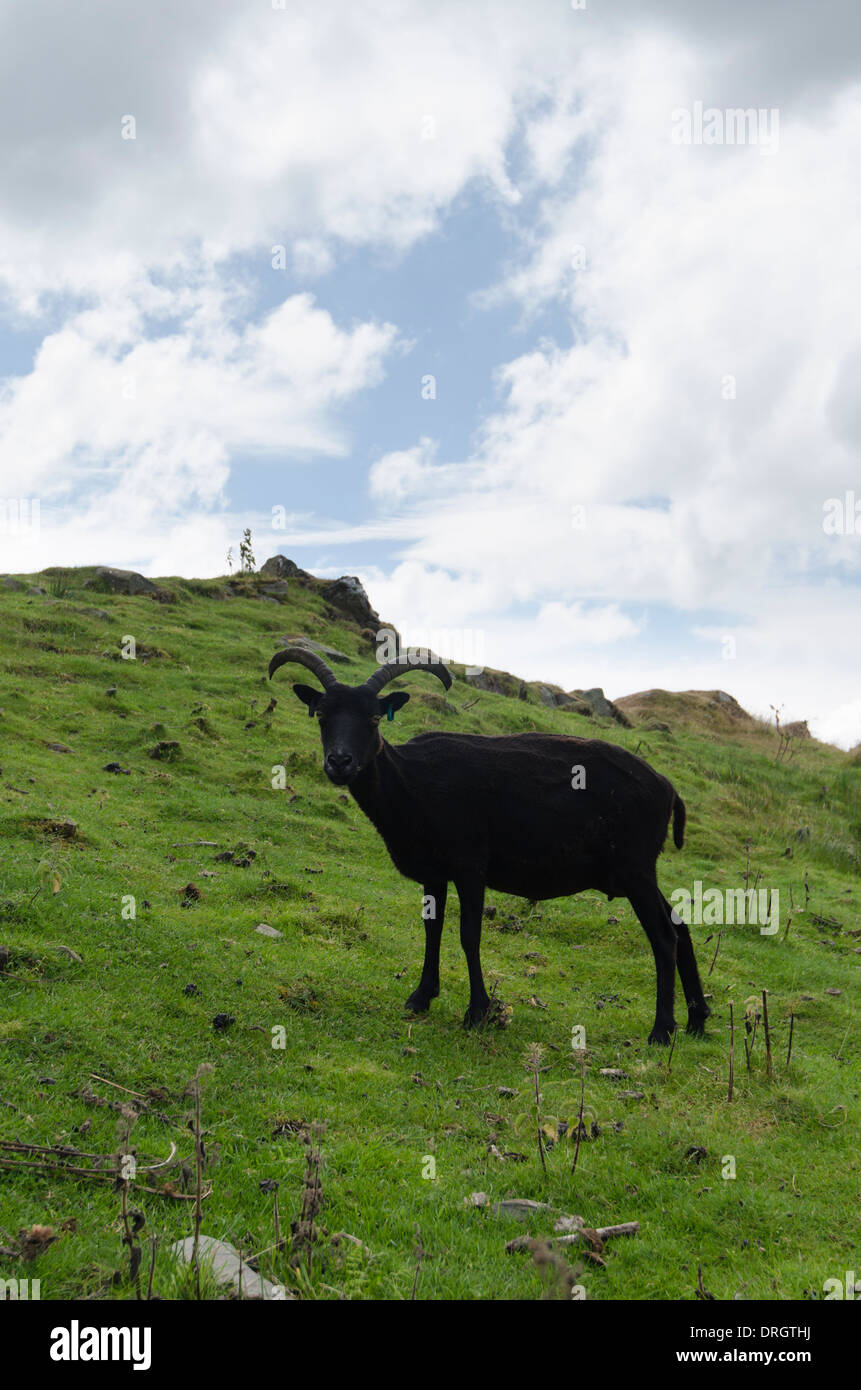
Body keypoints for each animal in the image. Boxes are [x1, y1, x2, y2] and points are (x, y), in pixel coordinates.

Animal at [268, 645, 710, 1043]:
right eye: (322, 716)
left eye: (374, 718)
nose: (339, 762)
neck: (411, 782)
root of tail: (668, 789)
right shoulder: (434, 871)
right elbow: (432, 927)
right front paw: (420, 997)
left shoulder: (470, 863)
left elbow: (469, 934)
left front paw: (477, 1012)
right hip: (634, 871)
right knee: (680, 926)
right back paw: (697, 1022)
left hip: (634, 868)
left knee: (664, 938)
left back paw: (662, 1030)